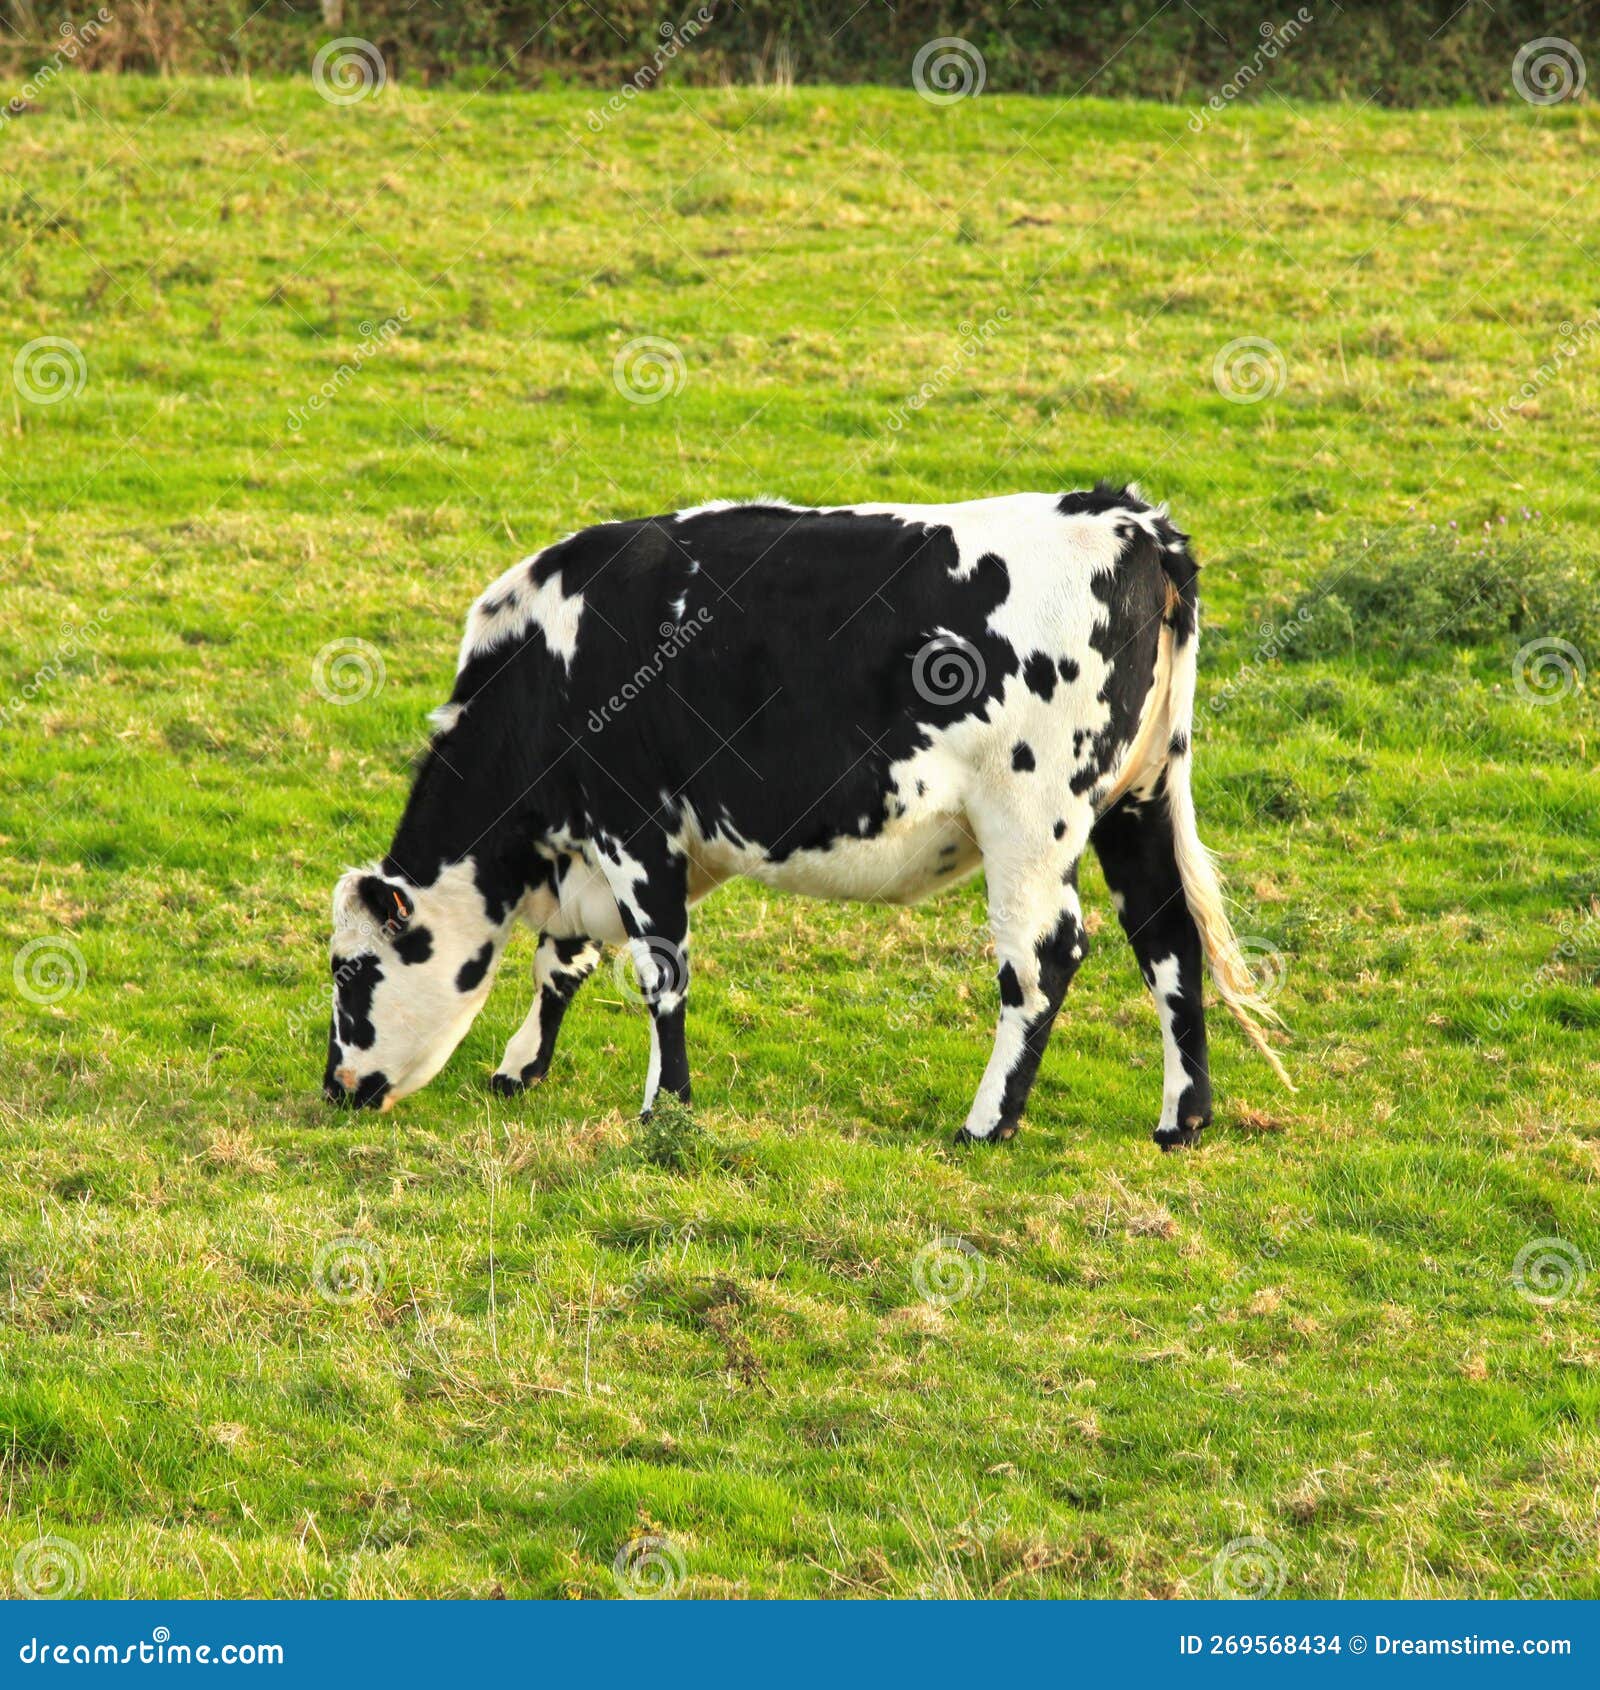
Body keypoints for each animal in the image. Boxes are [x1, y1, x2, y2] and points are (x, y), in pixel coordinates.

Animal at [323, 485, 1291, 1146]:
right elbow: (560, 962)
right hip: (1139, 799)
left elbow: (658, 971)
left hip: (1032, 819)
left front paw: (665, 1108)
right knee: (1168, 938)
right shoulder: (591, 851)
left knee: (1042, 960)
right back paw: (1182, 1117)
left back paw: (987, 1123)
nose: (335, 1085)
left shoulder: (635, 828)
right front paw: (521, 1067)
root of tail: (1129, 519)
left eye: (352, 973)